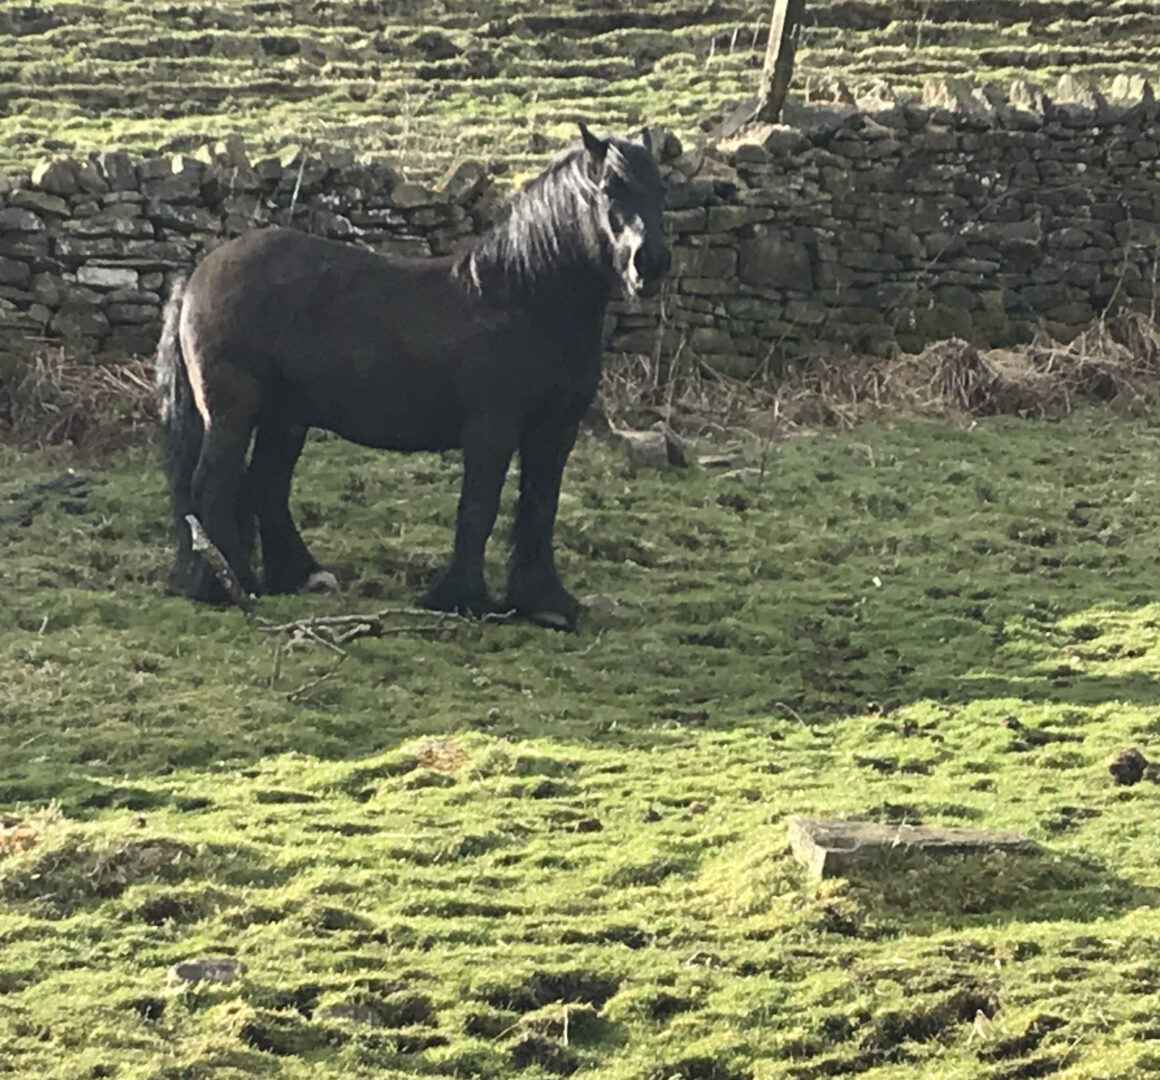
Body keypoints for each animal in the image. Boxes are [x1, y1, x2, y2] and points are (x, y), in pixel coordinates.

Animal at [155, 124, 670, 630]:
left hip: (286, 418)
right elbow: (478, 508)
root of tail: (199, 272)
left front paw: (545, 602)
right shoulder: (492, 428)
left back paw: (298, 575)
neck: (524, 299)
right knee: (213, 489)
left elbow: (540, 507)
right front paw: (462, 598)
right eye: (608, 189)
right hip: (232, 412)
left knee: (264, 486)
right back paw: (234, 586)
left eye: (660, 188)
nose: (650, 263)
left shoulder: (556, 430)